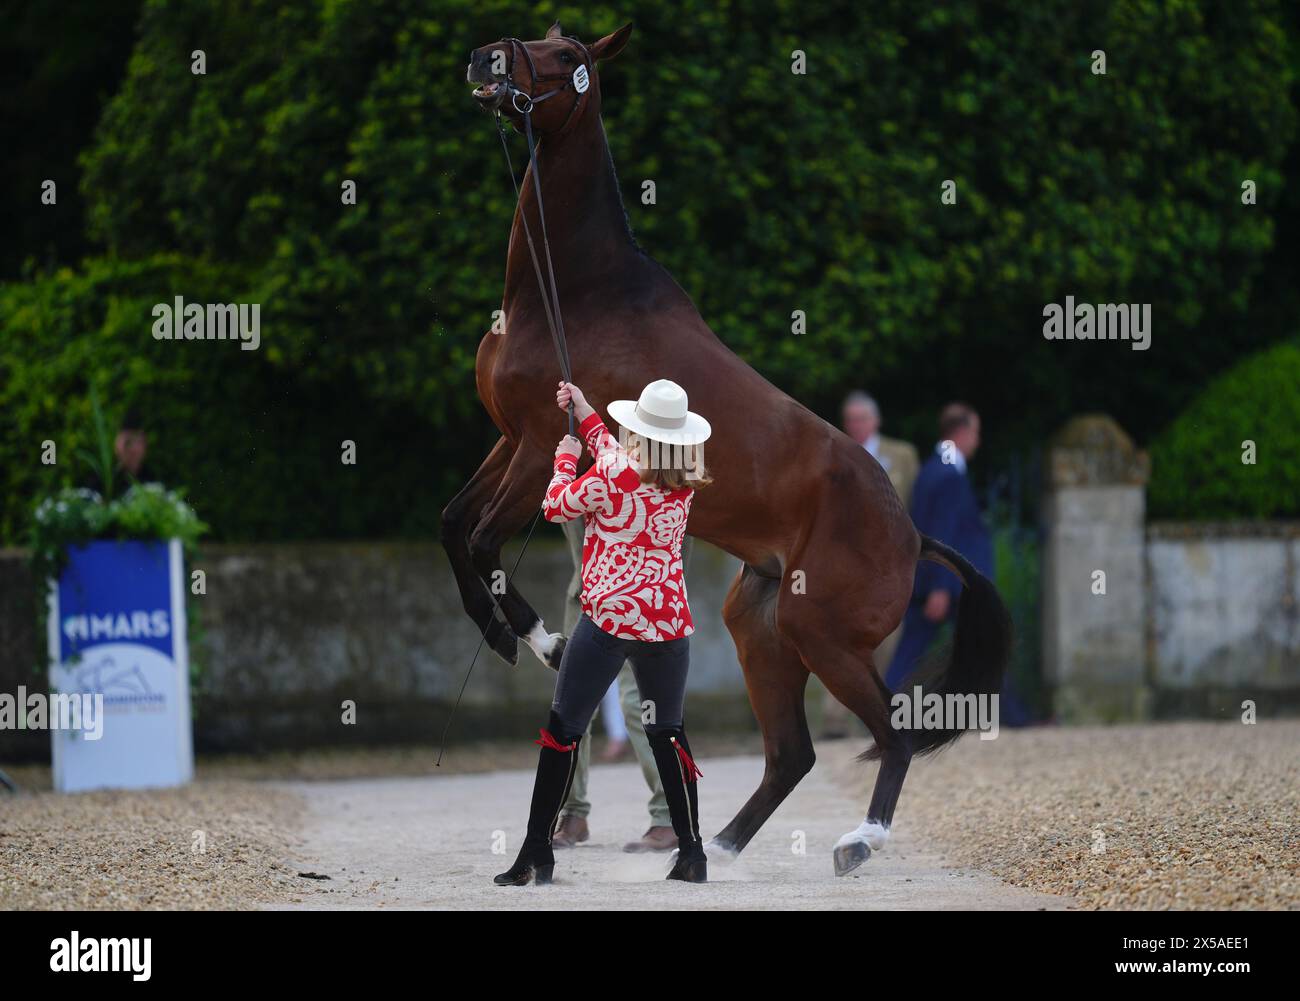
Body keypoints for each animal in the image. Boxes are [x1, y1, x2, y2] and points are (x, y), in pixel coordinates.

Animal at [450, 21, 1012, 875]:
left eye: (566, 56)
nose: (487, 59)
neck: (576, 291)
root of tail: (913, 531)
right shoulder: (509, 438)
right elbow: (455, 526)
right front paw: (511, 636)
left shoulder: (543, 443)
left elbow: (483, 539)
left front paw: (541, 640)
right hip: (762, 627)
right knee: (794, 753)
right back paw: (717, 842)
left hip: (820, 634)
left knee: (891, 734)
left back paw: (857, 840)